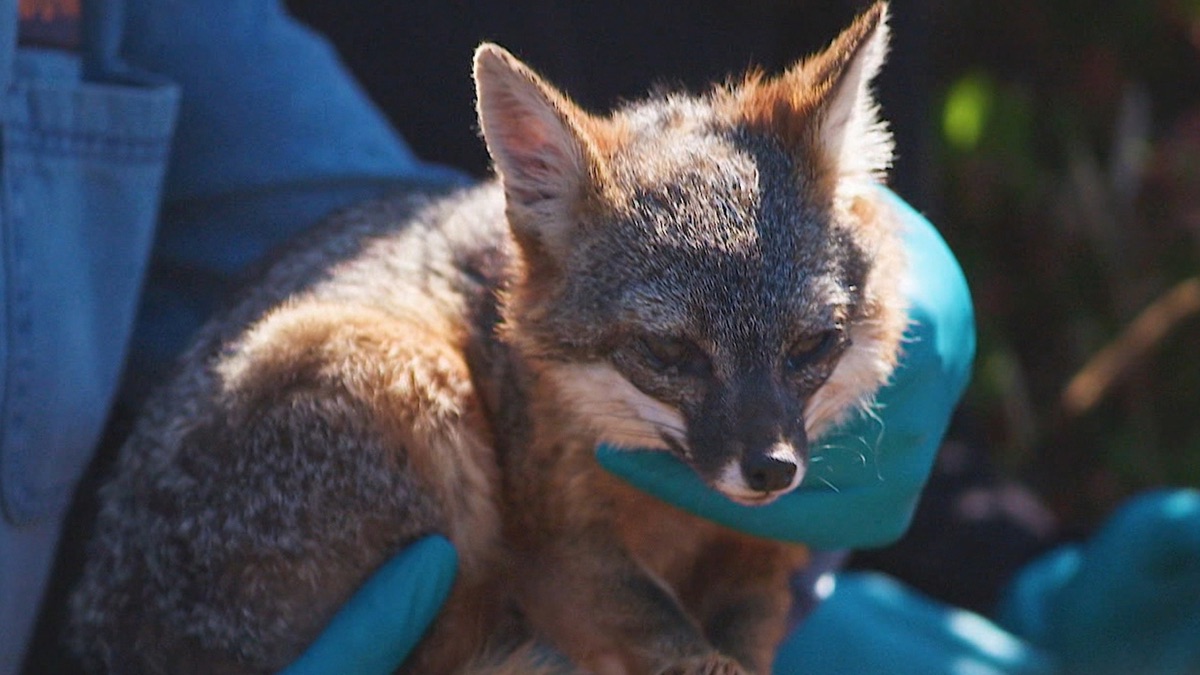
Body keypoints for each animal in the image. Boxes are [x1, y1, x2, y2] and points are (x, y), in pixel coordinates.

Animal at [69, 3, 908, 673]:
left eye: (813, 345)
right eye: (670, 353)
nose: (770, 469)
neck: (681, 517)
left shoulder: (764, 553)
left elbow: (745, 630)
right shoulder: (555, 545)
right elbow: (662, 631)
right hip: (397, 367)